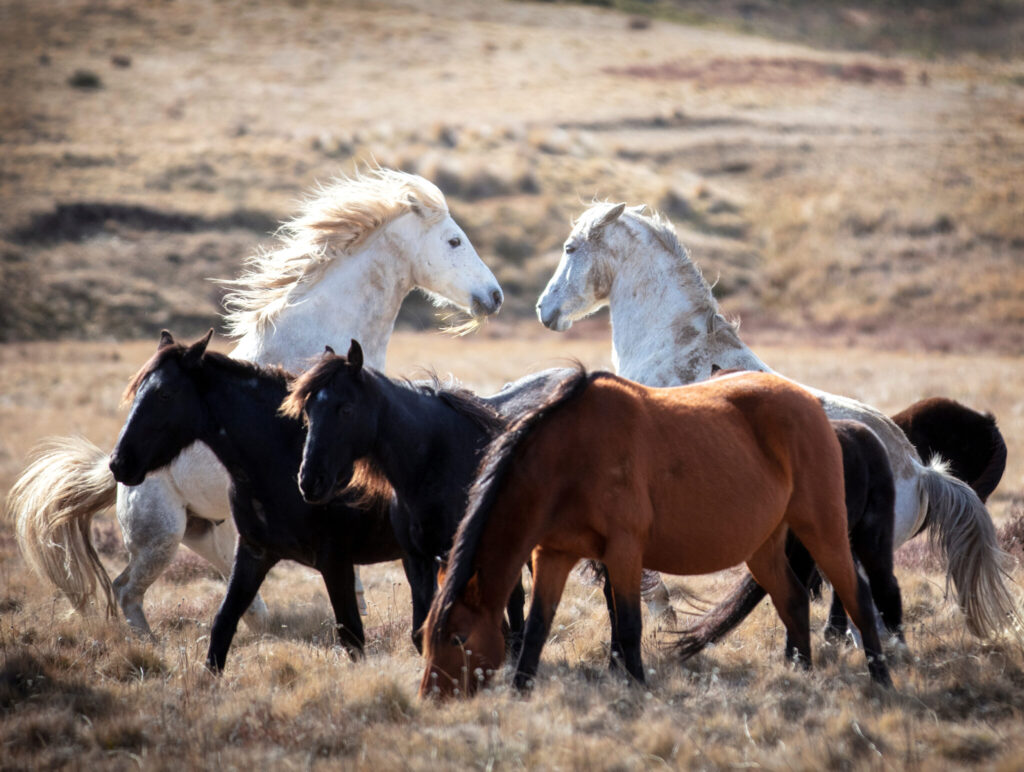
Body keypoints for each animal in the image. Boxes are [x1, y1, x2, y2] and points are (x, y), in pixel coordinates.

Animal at [7, 169, 503, 637]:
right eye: (454, 240)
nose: (493, 297)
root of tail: (113, 474)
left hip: (211, 532)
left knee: (239, 600)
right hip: (160, 537)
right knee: (125, 590)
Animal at [108, 331, 404, 672]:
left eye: (165, 394)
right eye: (138, 391)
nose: (119, 463)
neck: (285, 457)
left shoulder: (336, 561)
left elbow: (352, 636)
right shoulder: (254, 553)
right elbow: (223, 623)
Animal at [280, 341, 573, 652]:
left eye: (346, 409)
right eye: (309, 410)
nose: (310, 481)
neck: (434, 462)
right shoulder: (416, 558)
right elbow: (421, 631)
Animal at [421, 368, 893, 698]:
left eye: (458, 637)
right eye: (426, 635)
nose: (432, 696)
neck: (571, 457)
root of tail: (812, 404)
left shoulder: (625, 552)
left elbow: (629, 624)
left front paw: (636, 685)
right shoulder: (552, 555)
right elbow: (538, 625)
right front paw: (521, 690)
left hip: (823, 530)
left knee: (858, 598)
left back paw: (882, 679)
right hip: (764, 547)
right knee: (792, 599)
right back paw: (802, 673)